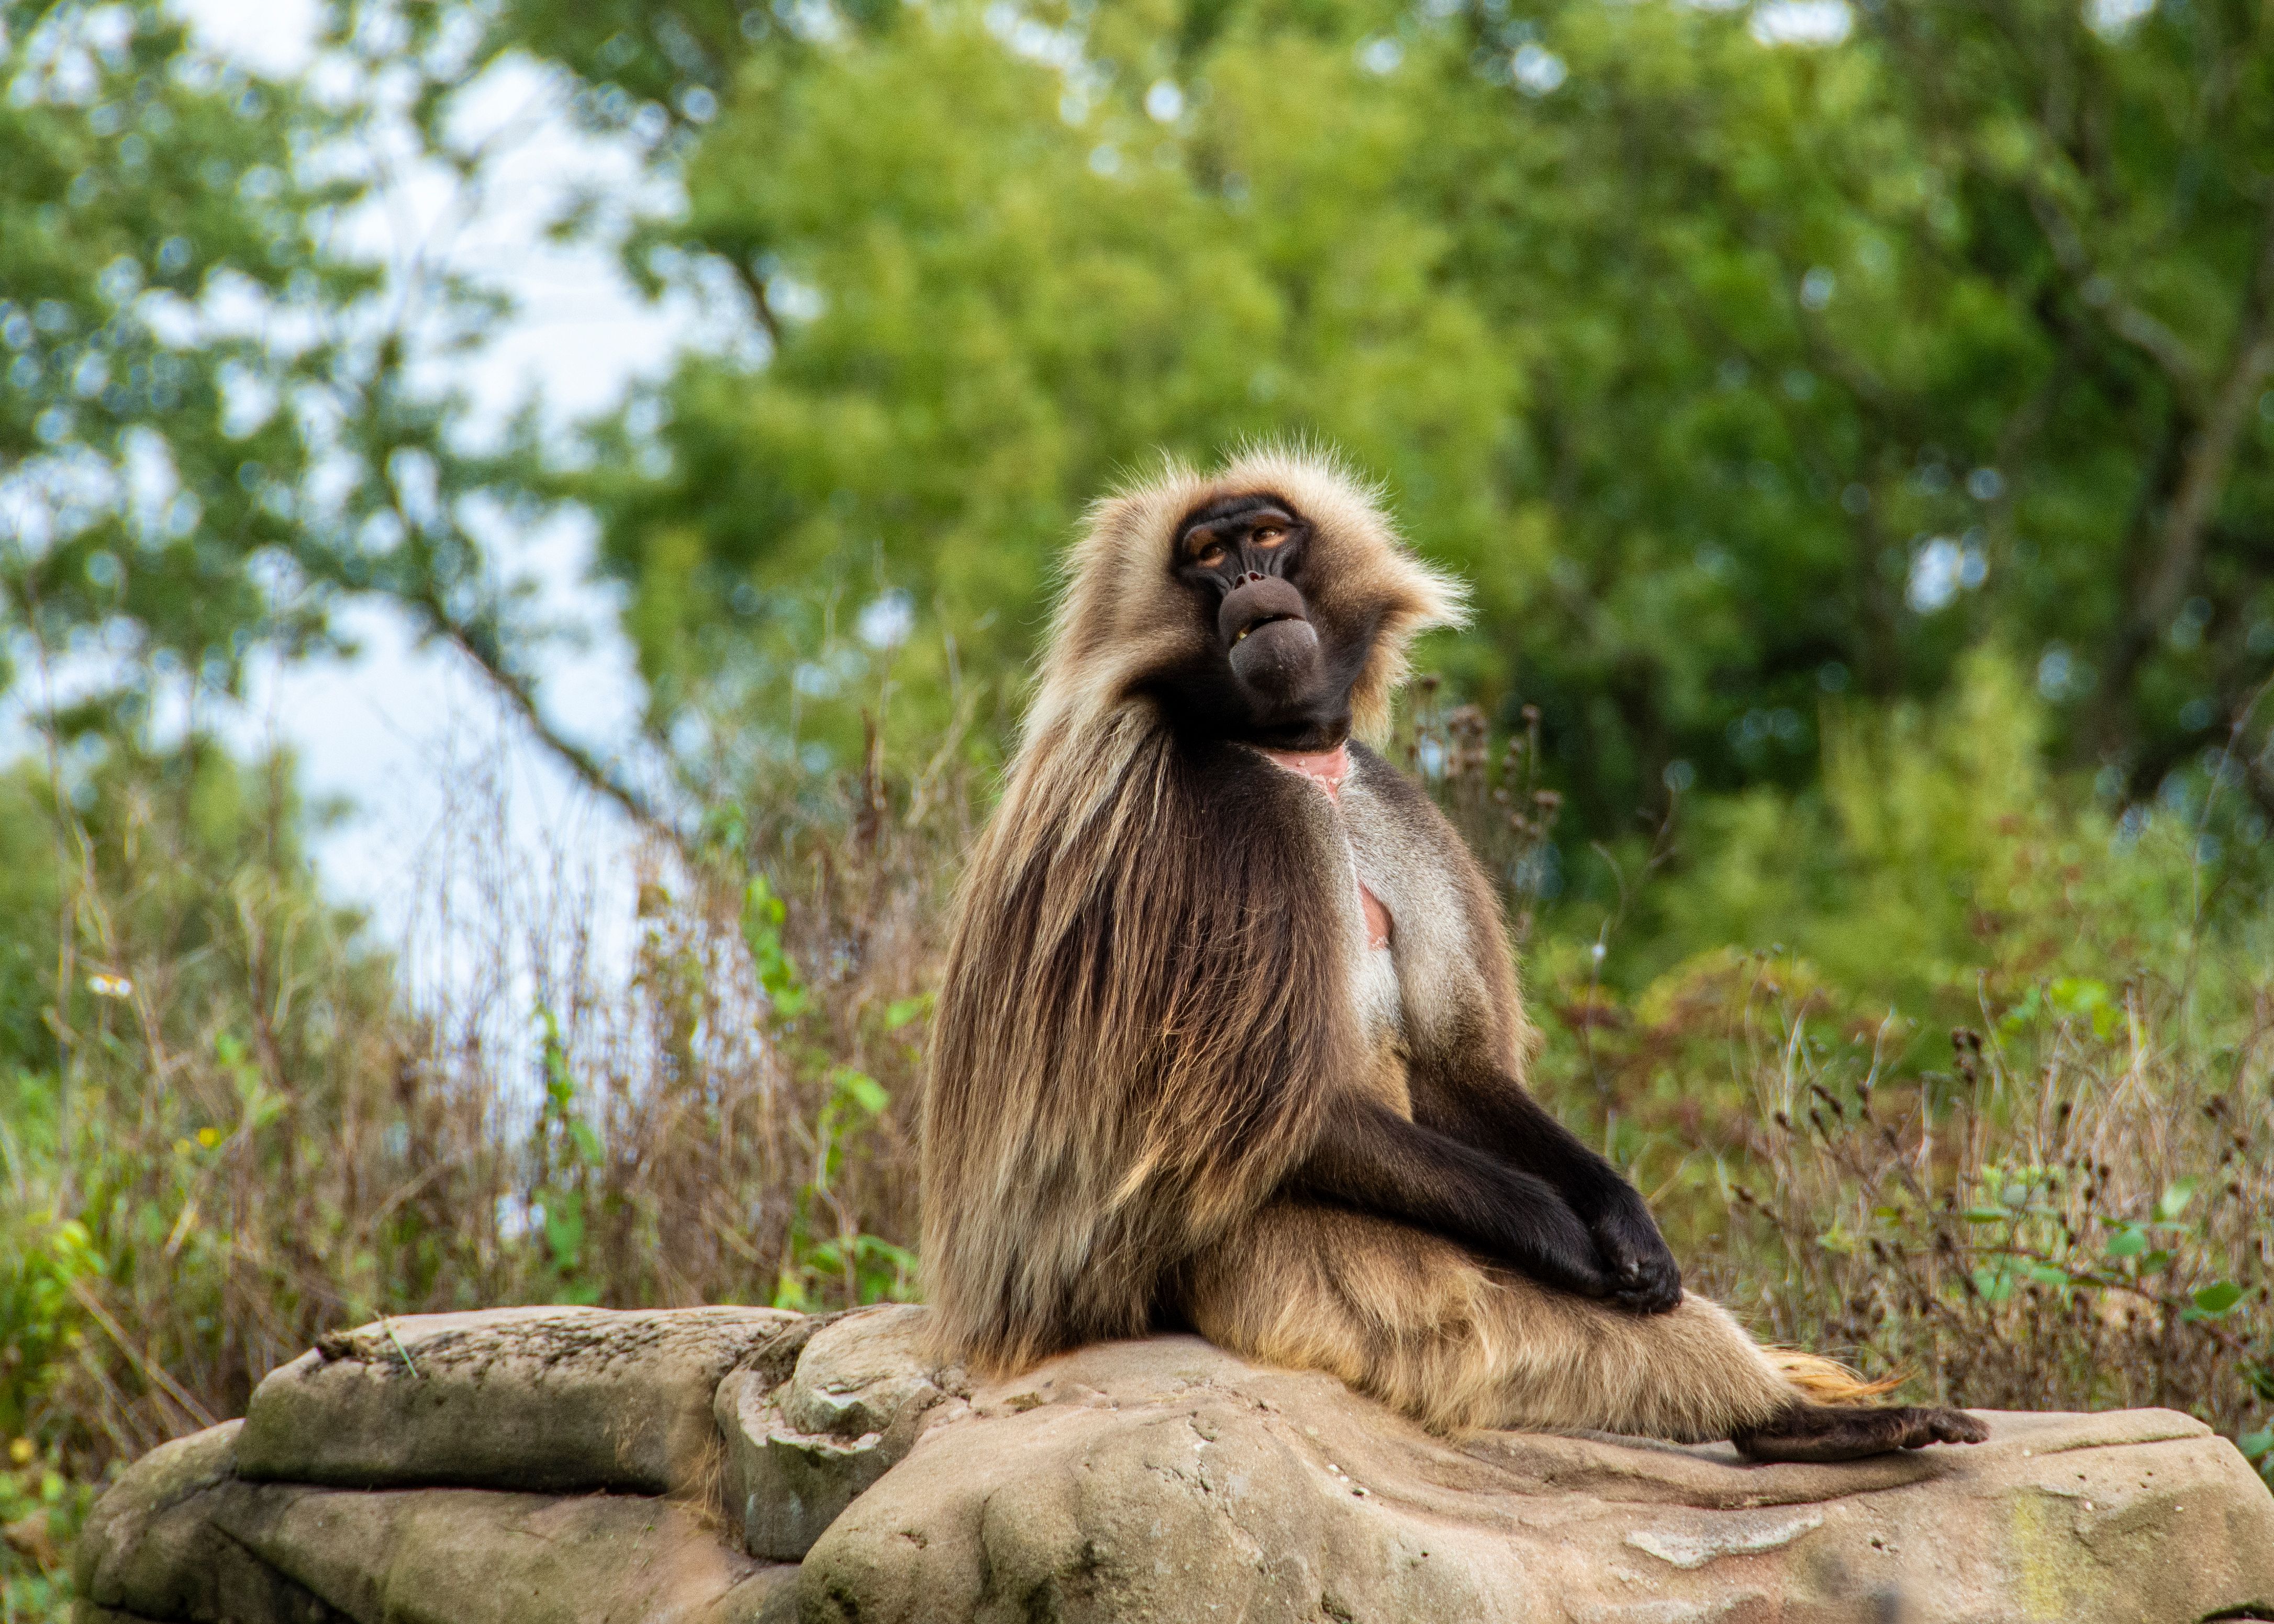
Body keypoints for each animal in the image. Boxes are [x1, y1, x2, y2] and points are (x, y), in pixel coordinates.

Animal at [919, 446, 1987, 1462]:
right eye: (1207, 554)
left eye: (1266, 534)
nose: (1251, 582)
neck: (1287, 755)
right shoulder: (1209, 833)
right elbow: (1273, 1105)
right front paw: (1559, 1232)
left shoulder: (1391, 802)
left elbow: (1452, 1073)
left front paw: (1623, 1219)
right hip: (1268, 1273)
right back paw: (1789, 1421)